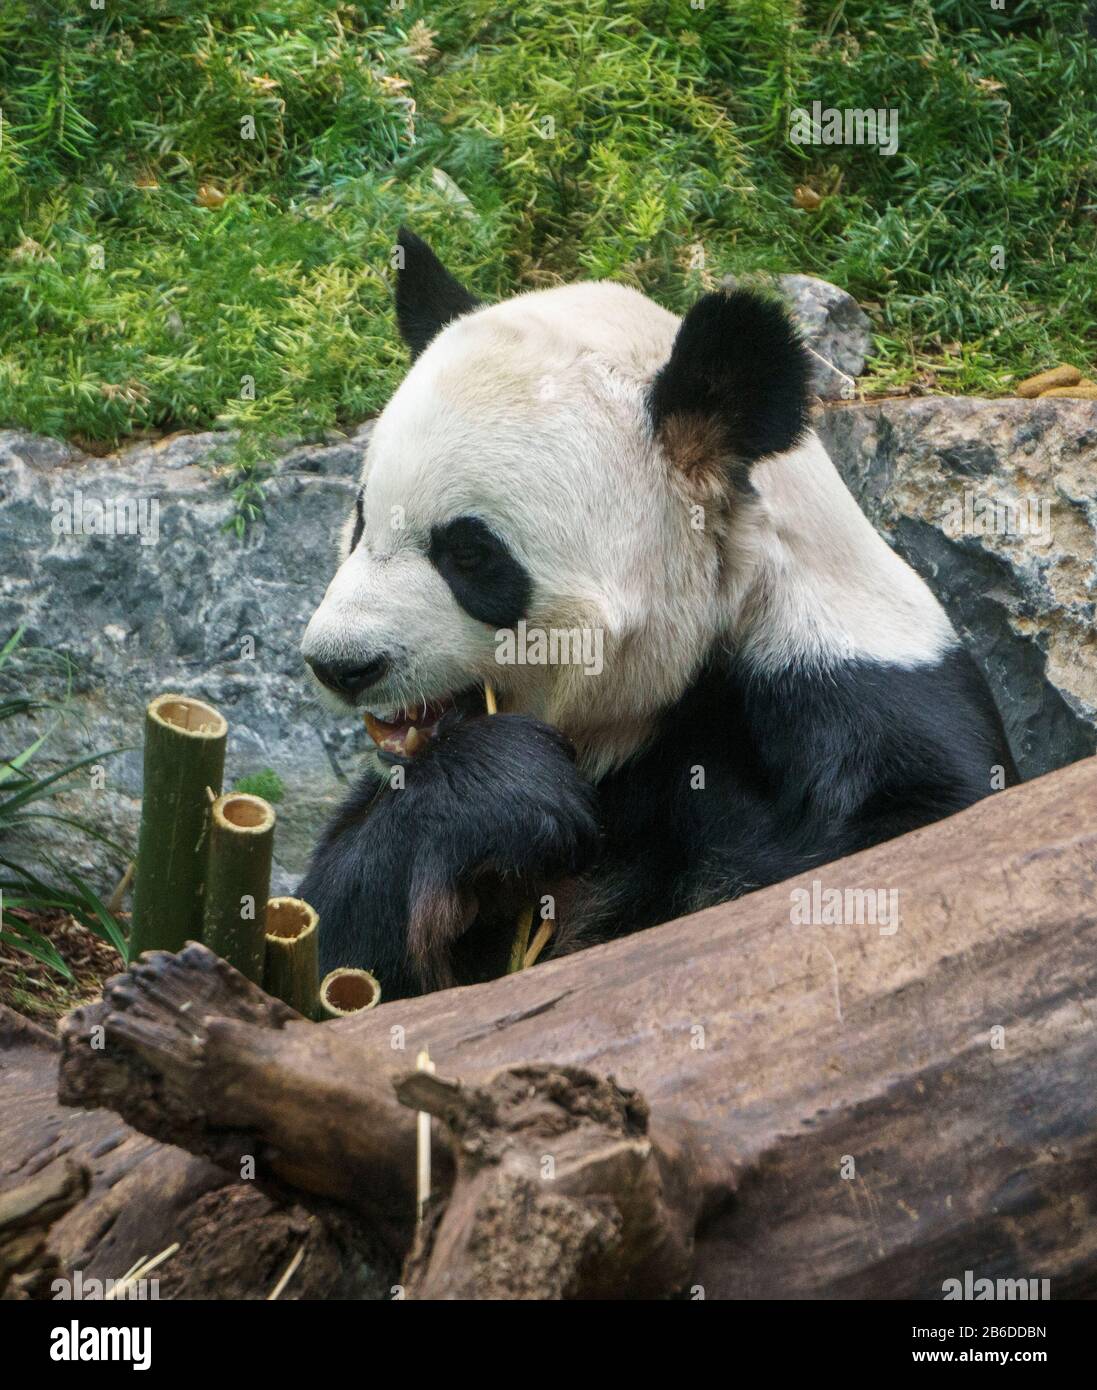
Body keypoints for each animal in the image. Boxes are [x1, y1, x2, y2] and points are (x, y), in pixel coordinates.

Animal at [299, 229, 1016, 998]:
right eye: (361, 521)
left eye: (468, 553)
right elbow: (336, 942)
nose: (341, 663)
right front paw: (499, 792)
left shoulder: (858, 692)